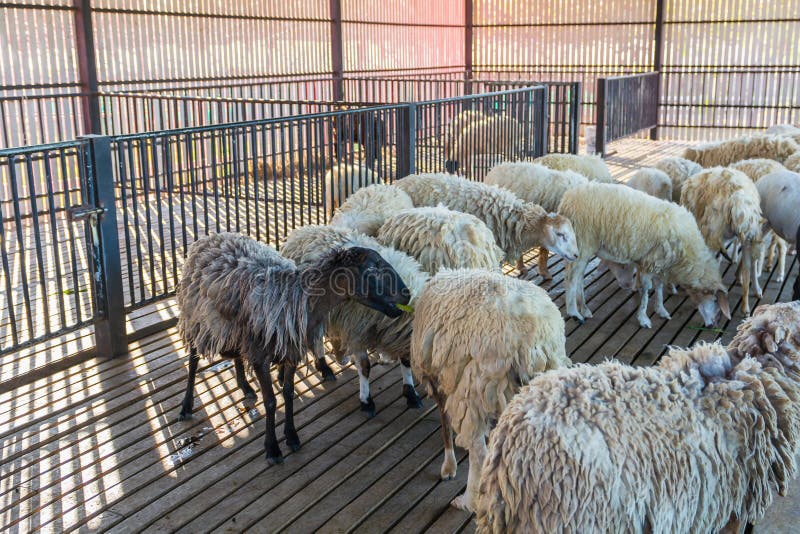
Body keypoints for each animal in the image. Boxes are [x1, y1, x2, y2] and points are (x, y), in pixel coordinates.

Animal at [177, 232, 410, 463]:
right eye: (372, 269)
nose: (406, 294)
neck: (297, 299)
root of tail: (211, 237)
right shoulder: (261, 356)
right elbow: (271, 401)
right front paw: (272, 449)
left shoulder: (290, 353)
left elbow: (288, 393)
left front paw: (291, 437)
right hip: (194, 318)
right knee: (193, 358)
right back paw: (186, 406)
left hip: (234, 329)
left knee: (236, 354)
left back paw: (246, 387)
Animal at [281, 224, 427, 417]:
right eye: (372, 271)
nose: (406, 296)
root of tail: (301, 231)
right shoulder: (357, 331)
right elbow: (365, 367)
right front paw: (366, 401)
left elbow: (405, 361)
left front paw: (411, 393)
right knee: (316, 338)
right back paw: (324, 367)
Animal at [410, 268, 569, 512]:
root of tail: (530, 340)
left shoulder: (438, 380)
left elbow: (445, 425)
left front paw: (448, 466)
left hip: (473, 390)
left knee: (478, 454)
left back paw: (468, 500)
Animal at [559, 182, 731, 328]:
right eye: (715, 299)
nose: (713, 325)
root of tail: (567, 198)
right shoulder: (651, 262)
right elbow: (647, 290)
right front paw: (643, 318)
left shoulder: (660, 264)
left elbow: (659, 287)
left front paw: (661, 310)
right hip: (581, 244)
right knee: (571, 279)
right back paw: (574, 313)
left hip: (585, 249)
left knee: (579, 278)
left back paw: (584, 309)